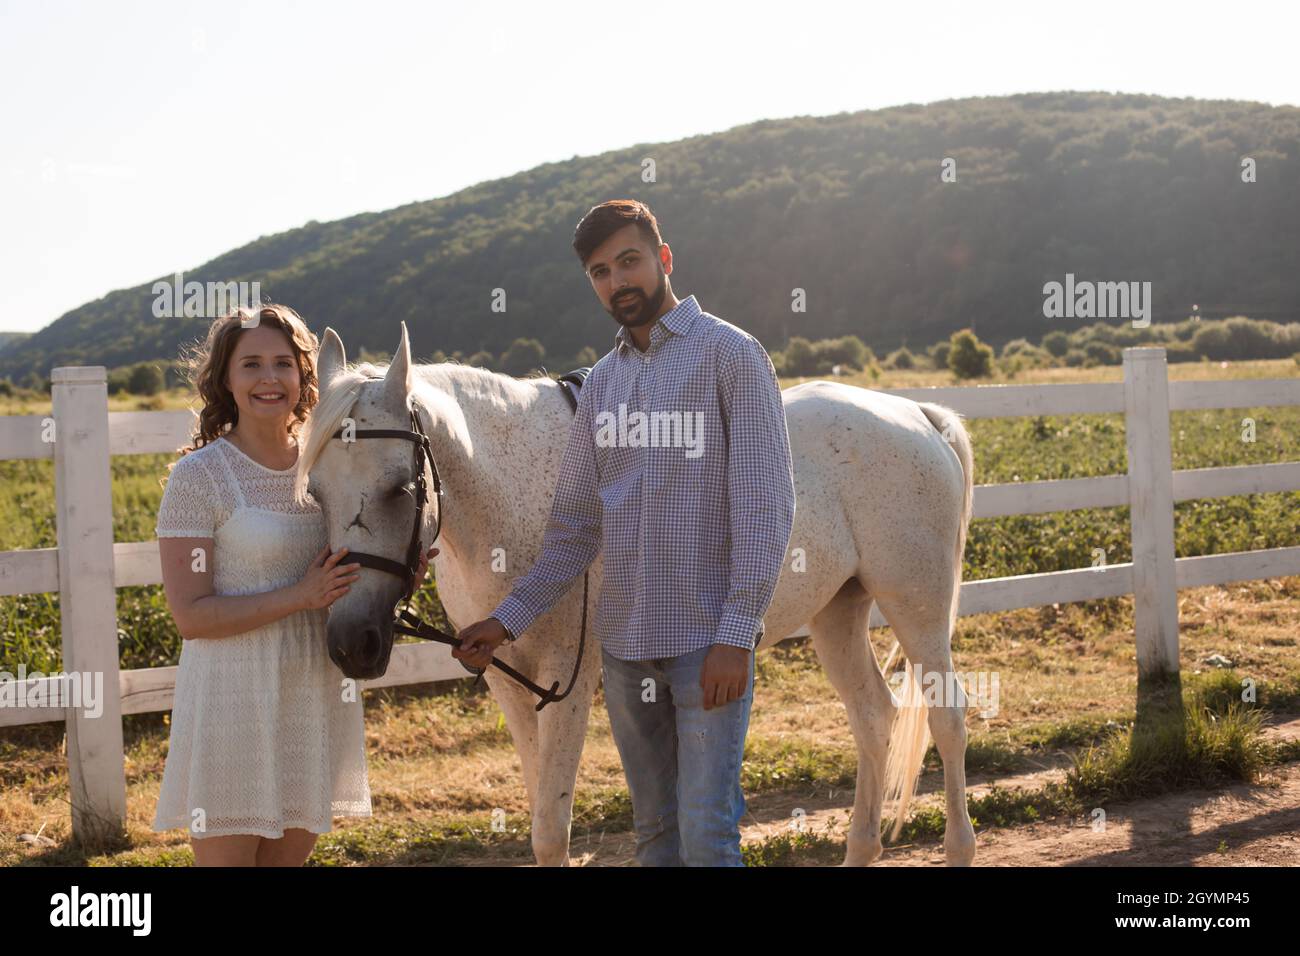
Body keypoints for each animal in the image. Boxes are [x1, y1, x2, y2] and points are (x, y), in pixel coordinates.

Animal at [296, 323, 977, 867]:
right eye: (315, 493)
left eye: (399, 486)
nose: (352, 643)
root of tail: (916, 416)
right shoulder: (506, 679)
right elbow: (539, 805)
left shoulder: (566, 682)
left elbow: (551, 830)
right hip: (838, 613)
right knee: (875, 718)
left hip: (916, 609)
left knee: (946, 718)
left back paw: (957, 846)